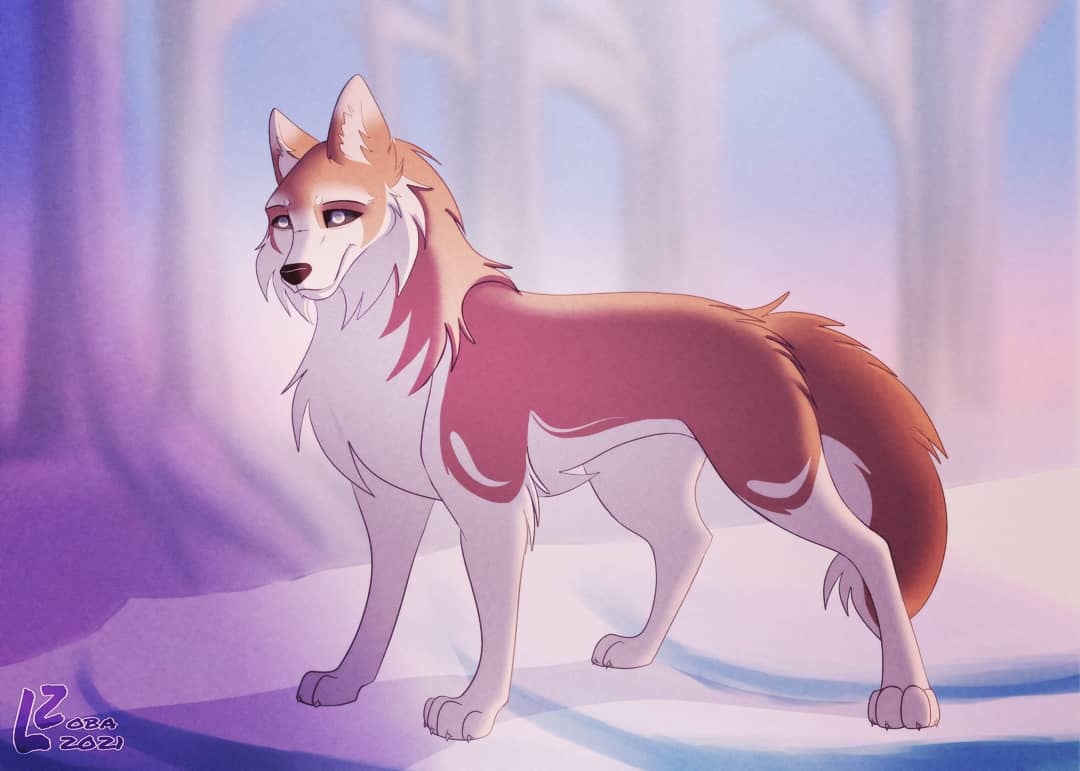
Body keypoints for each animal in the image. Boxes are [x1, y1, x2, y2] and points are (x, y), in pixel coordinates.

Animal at [256, 75, 947, 741]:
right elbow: (379, 605)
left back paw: (907, 697)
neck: (387, 343)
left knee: (872, 549)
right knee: (688, 543)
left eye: (339, 213)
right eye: (281, 220)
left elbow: (496, 619)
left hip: (772, 480)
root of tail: (759, 321)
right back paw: (639, 653)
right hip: (636, 489)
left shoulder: (491, 501)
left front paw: (475, 711)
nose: (292, 273)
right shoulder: (389, 501)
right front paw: (347, 684)